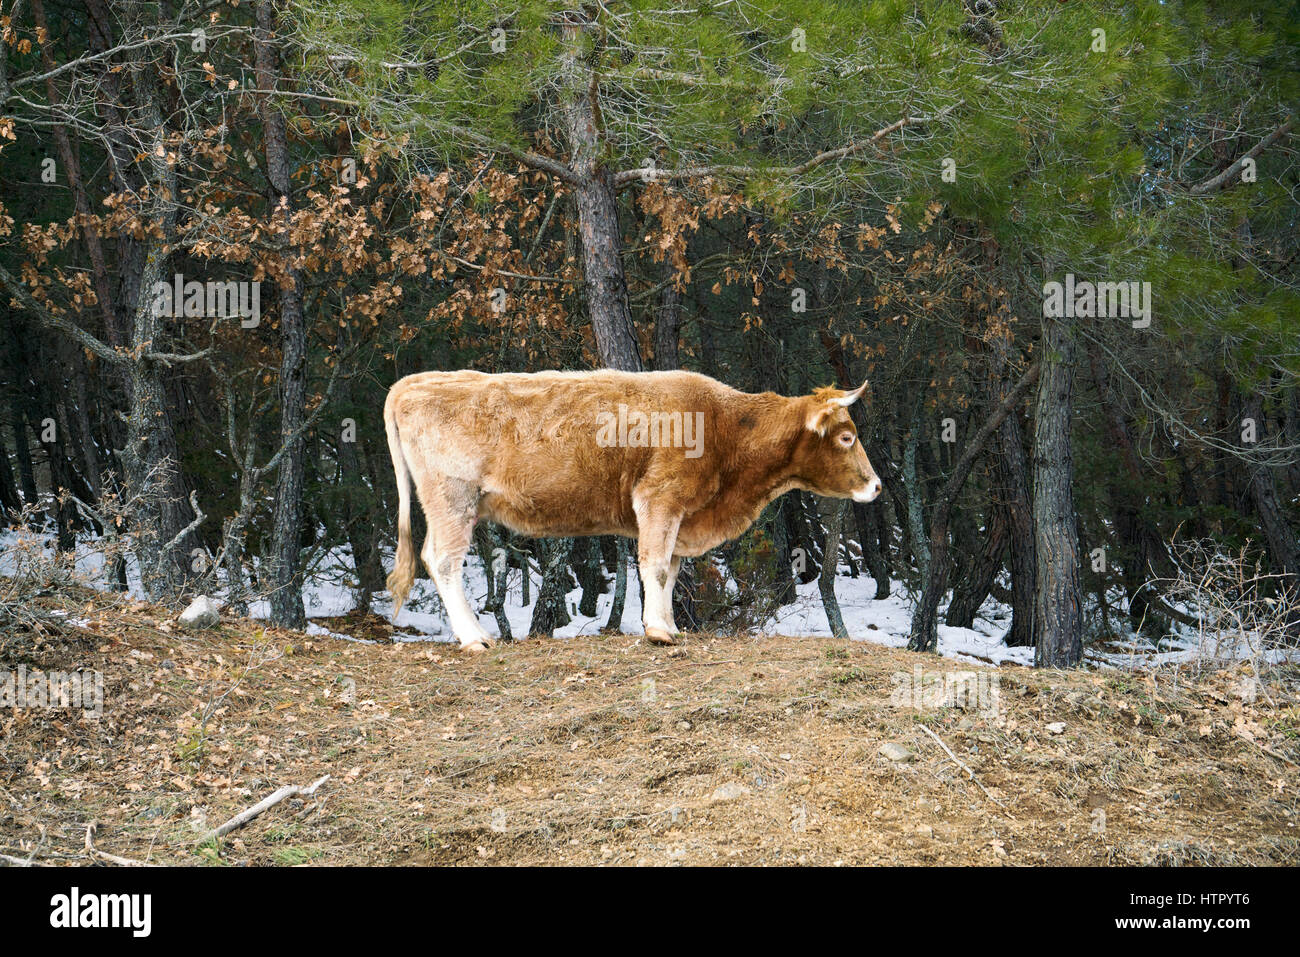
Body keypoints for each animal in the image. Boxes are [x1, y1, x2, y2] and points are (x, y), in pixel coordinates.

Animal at [384, 369, 882, 652]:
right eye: (846, 437)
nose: (877, 486)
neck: (725, 427)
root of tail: (412, 382)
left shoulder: (682, 514)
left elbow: (671, 572)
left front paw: (669, 625)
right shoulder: (659, 498)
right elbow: (655, 566)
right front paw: (658, 631)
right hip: (453, 498)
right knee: (442, 561)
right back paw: (474, 638)